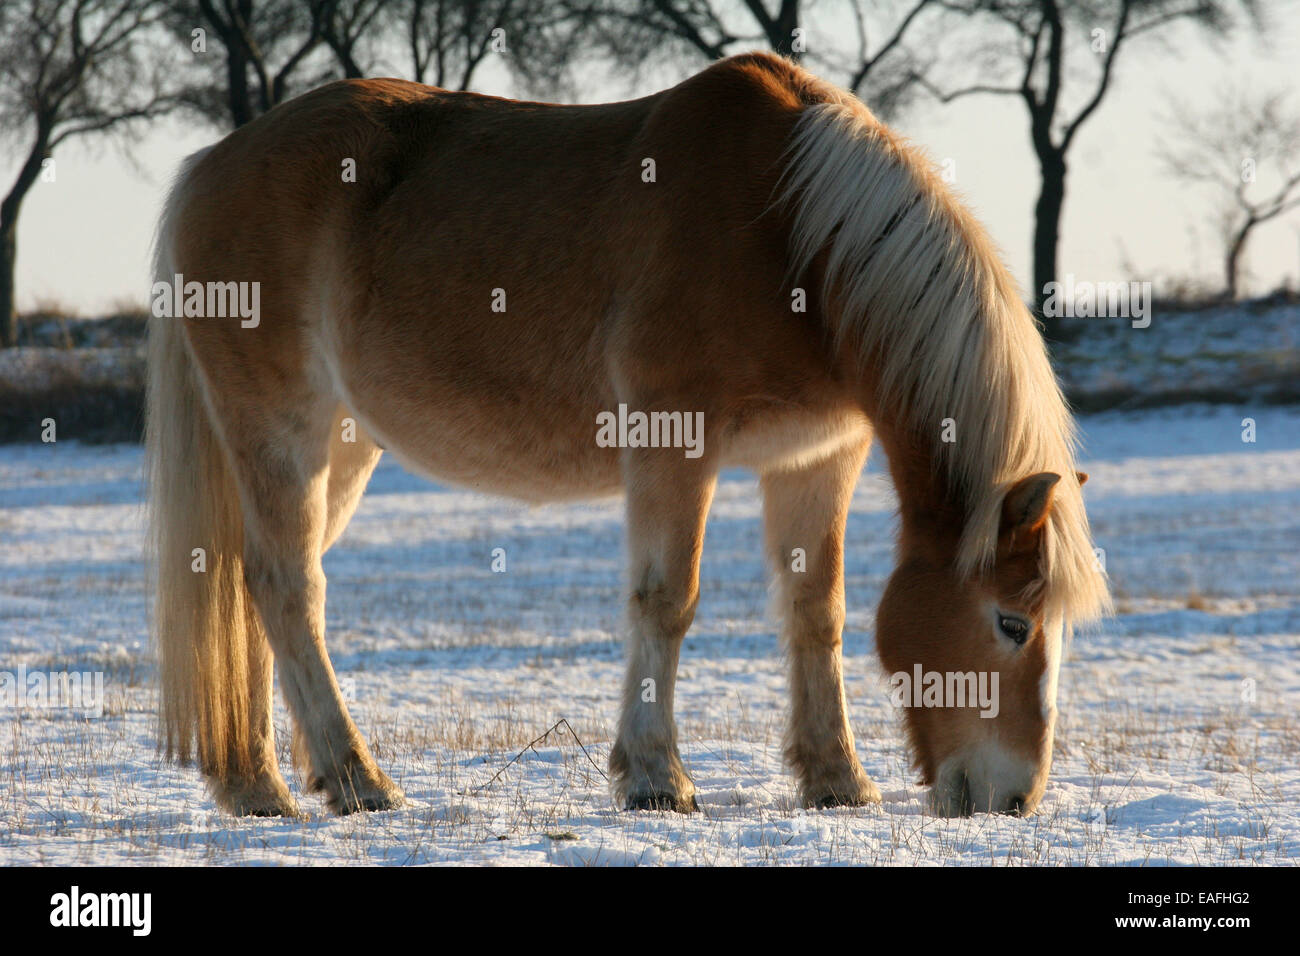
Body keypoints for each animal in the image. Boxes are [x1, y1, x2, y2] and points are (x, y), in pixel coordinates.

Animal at [146, 51, 1109, 819]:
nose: (1013, 799)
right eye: (1012, 623)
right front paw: (656, 777)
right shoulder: (672, 443)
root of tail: (208, 164)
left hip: (345, 445)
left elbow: (817, 612)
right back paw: (351, 779)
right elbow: (666, 599)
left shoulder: (815, 459)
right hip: (283, 432)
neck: (790, 235)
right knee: (287, 588)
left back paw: (257, 781)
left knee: (257, 588)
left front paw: (836, 779)